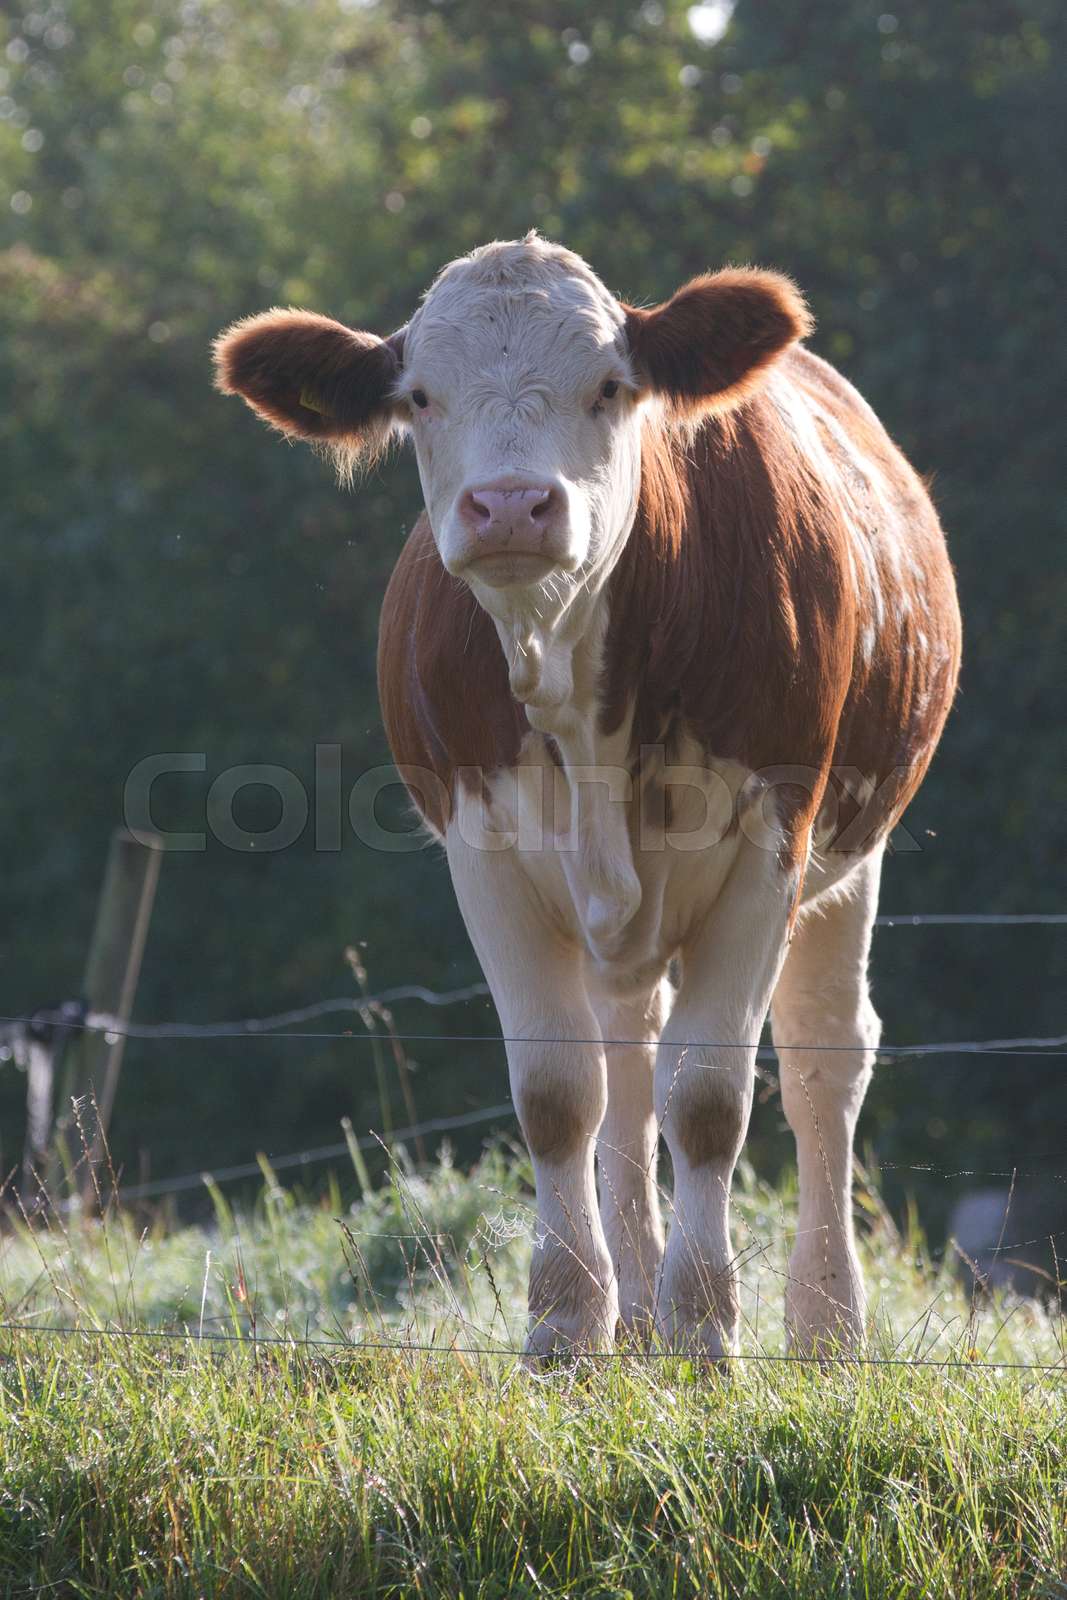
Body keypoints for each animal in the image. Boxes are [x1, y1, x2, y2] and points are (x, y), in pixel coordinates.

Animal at [214, 233, 961, 1361]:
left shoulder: (769, 845)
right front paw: (568, 1328)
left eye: (610, 387)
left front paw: (703, 1333)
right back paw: (636, 1312)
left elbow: (709, 1098)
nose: (511, 505)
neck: (573, 672)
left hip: (852, 856)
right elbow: (561, 1094)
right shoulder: (478, 848)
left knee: (822, 1060)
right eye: (420, 396)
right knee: (627, 1058)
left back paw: (823, 1326)